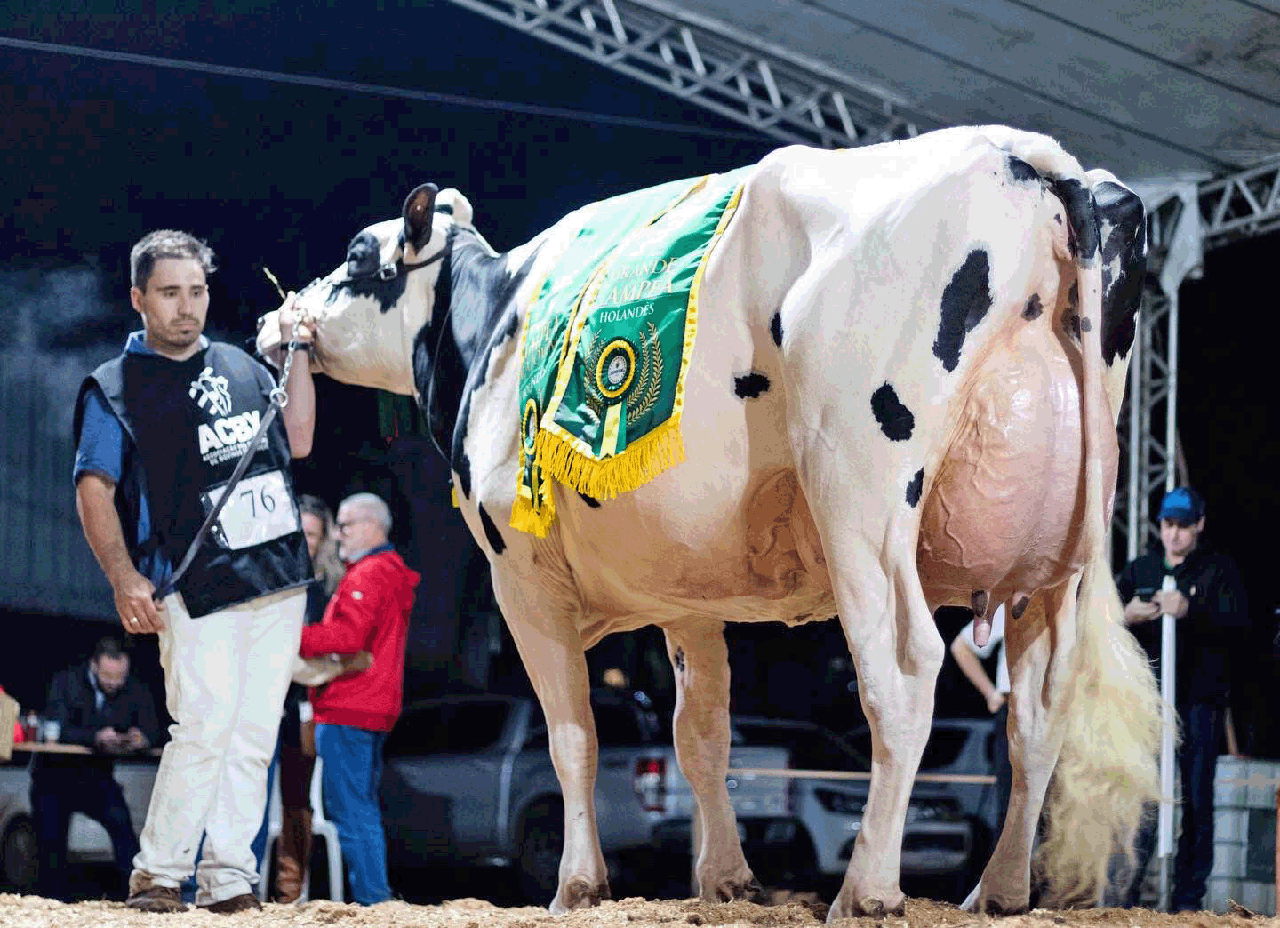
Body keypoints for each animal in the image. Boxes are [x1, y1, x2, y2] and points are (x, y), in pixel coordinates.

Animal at [258, 125, 1160, 920]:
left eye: (355, 259)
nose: (275, 323)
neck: (495, 324)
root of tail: (1026, 154)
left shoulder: (520, 577)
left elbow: (572, 734)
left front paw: (578, 884)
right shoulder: (686, 593)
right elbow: (701, 736)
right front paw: (727, 880)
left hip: (861, 497)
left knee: (903, 673)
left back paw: (867, 889)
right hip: (1060, 556)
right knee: (1039, 712)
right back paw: (997, 892)